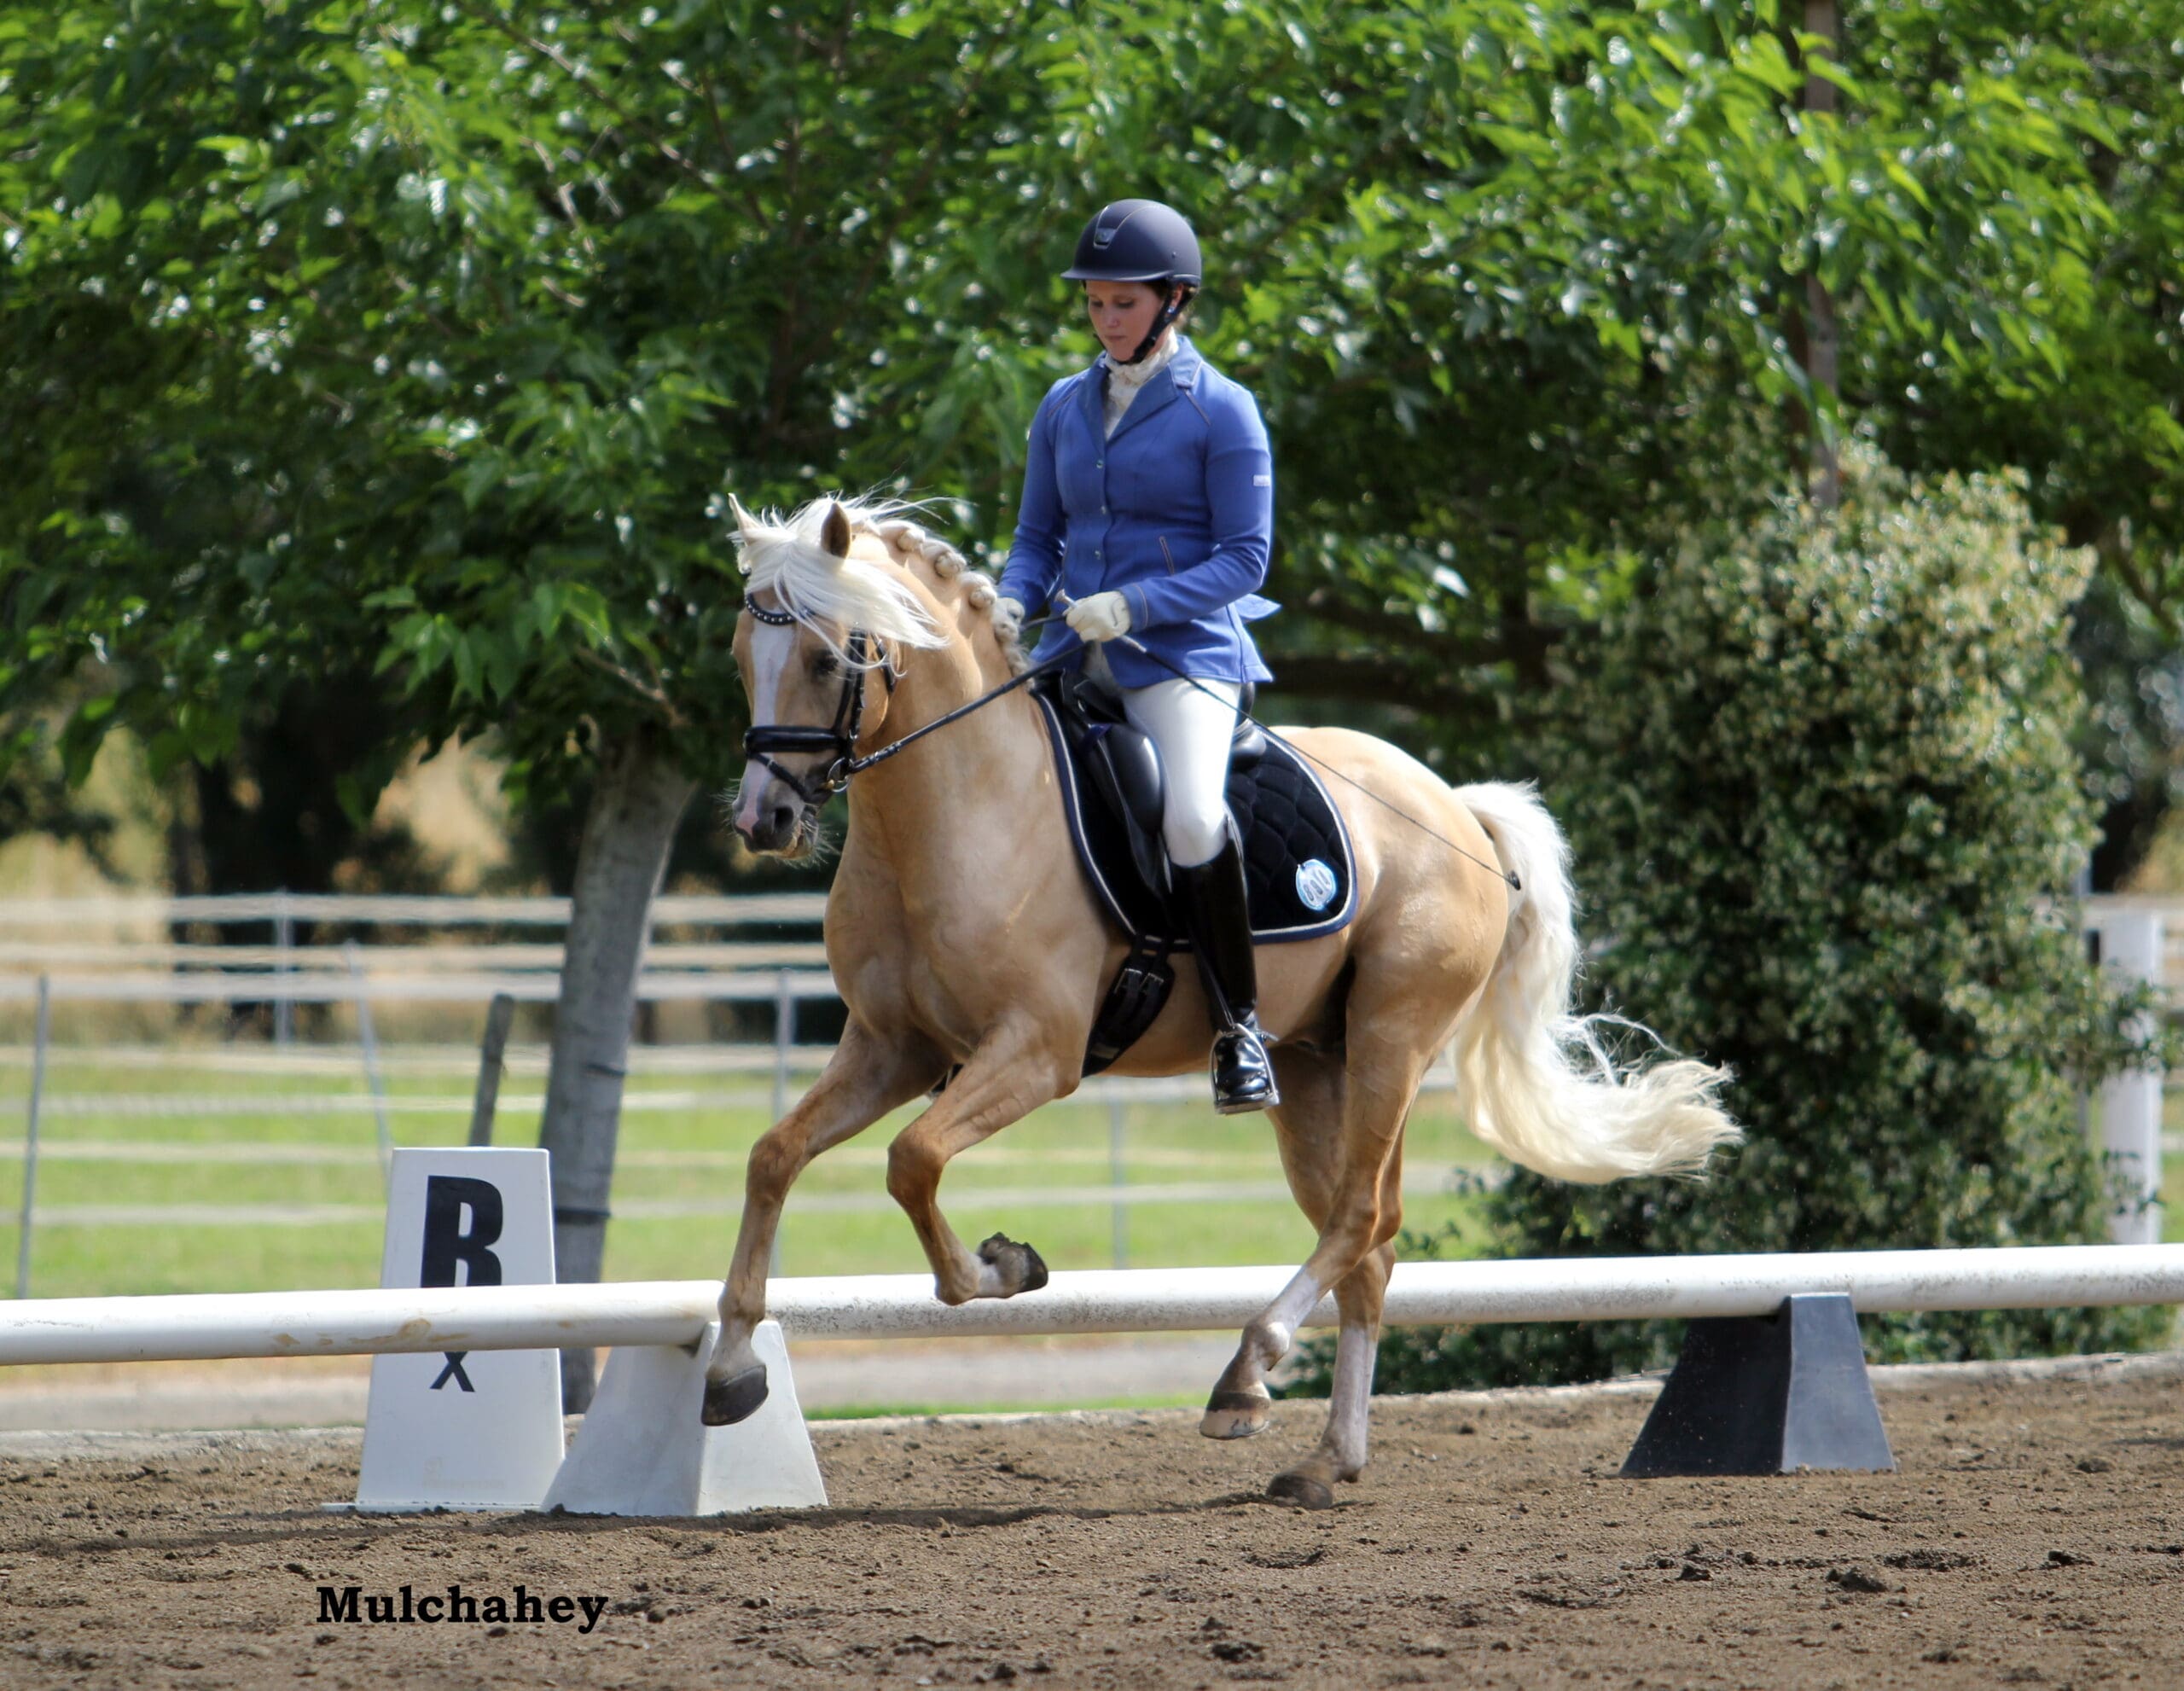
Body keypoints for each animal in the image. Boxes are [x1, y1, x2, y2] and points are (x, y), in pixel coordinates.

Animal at [705, 493, 1739, 1508]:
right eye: (739, 657)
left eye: (825, 656)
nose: (763, 820)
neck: (961, 804)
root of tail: (1454, 805)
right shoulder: (893, 1047)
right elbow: (772, 1157)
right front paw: (731, 1368)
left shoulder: (1036, 1053)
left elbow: (912, 1160)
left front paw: (1004, 1266)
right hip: (1316, 1067)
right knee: (1368, 1249)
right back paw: (1326, 1460)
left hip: (1393, 1039)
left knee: (1357, 1217)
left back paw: (1245, 1376)